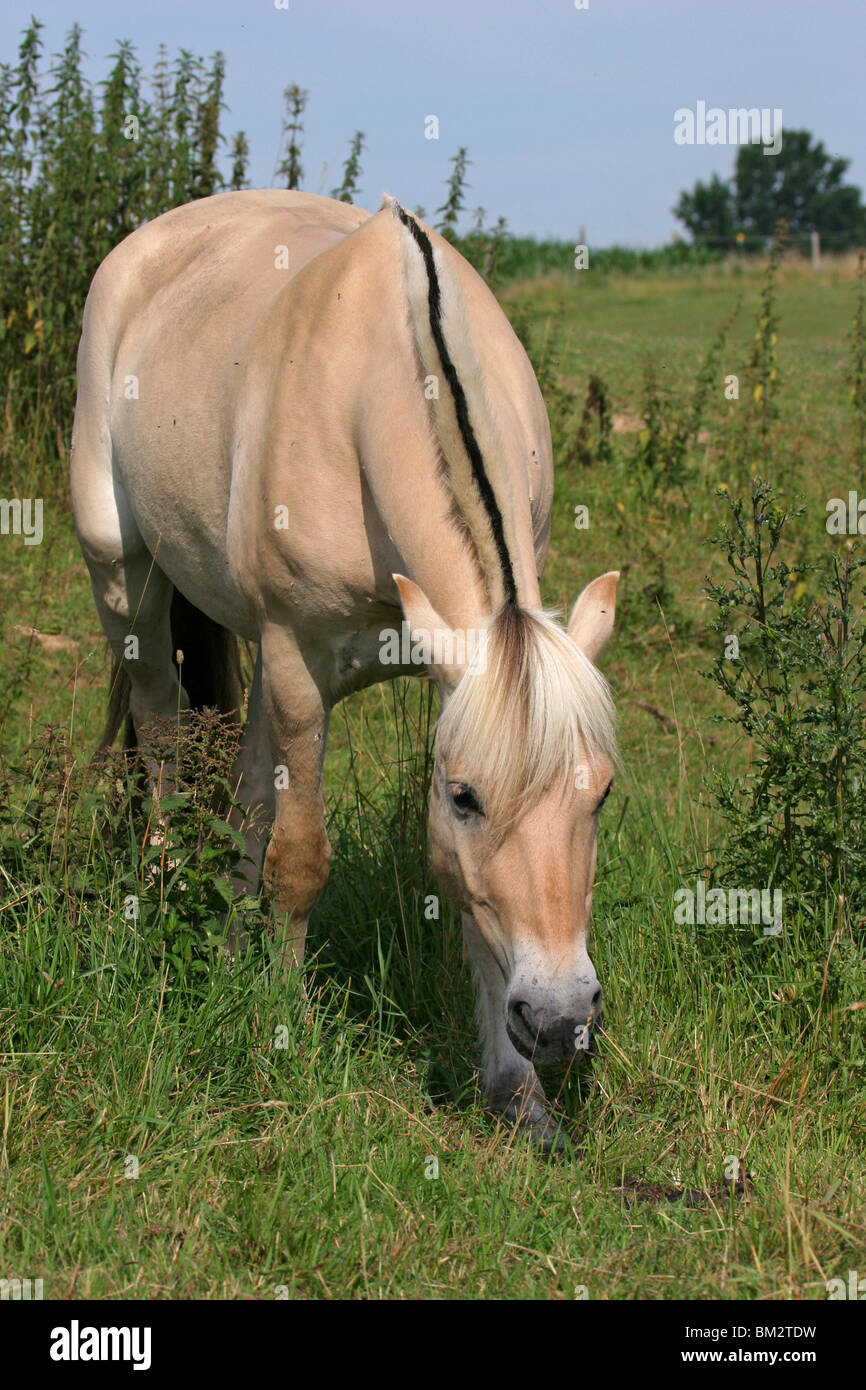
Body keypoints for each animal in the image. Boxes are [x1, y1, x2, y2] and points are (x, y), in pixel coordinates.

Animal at [70, 189, 620, 1149]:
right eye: (466, 798)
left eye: (603, 794)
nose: (558, 1021)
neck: (374, 396)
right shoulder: (297, 661)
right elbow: (301, 859)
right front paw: (281, 1022)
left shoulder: (446, 670)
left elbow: (469, 896)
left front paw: (518, 1094)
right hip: (126, 581)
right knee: (165, 735)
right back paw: (169, 906)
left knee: (247, 789)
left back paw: (226, 949)